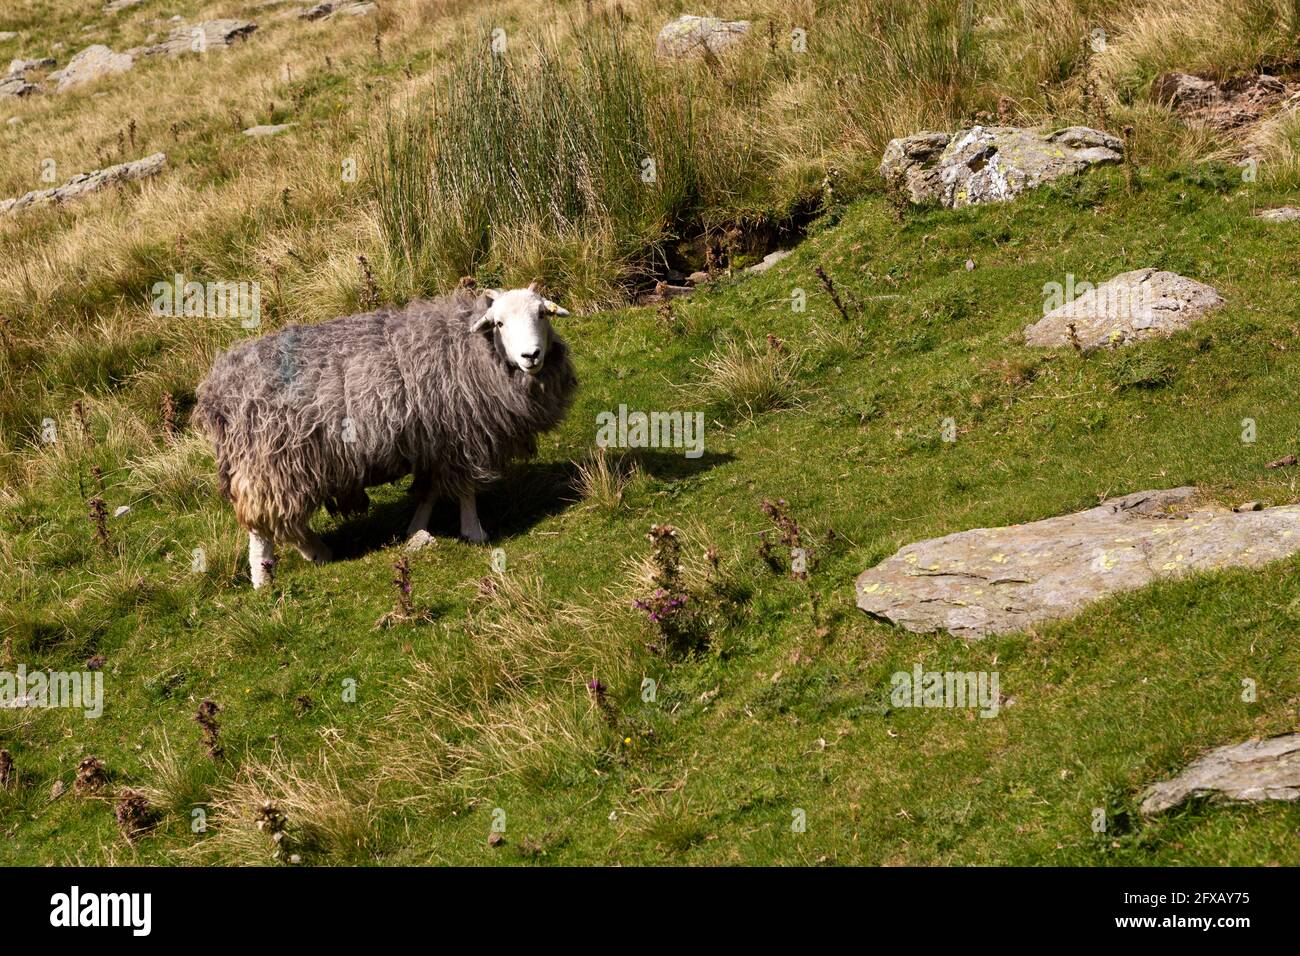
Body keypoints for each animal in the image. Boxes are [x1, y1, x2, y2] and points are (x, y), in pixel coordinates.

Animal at [192, 284, 578, 588]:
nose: (531, 356)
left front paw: (416, 529)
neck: (470, 349)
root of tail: (218, 387)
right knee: (262, 531)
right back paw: (265, 579)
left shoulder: (432, 443)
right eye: (499, 323)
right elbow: (466, 489)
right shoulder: (461, 435)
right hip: (267, 466)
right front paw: (474, 532)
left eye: (542, 315)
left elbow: (429, 491)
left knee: (288, 521)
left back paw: (317, 553)